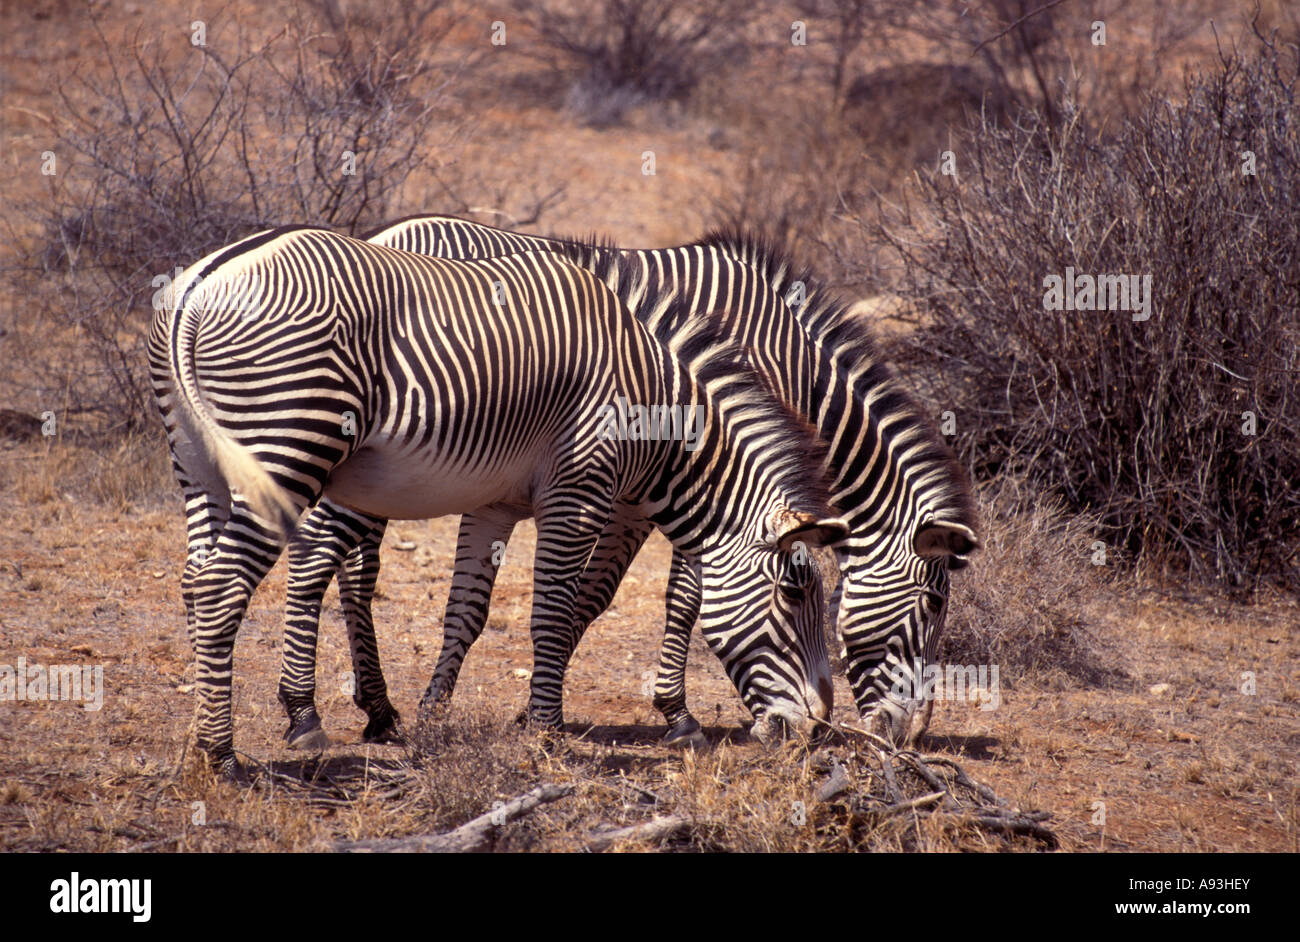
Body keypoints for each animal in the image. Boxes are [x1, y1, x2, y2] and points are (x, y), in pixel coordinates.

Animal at [152, 225, 847, 775]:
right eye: (795, 593)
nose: (817, 730)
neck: (649, 404)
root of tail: (204, 282)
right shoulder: (580, 492)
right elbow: (556, 613)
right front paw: (547, 733)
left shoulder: (496, 505)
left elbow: (466, 611)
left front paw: (432, 719)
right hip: (287, 444)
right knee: (225, 583)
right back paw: (227, 753)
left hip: (199, 462)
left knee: (196, 578)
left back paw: (211, 735)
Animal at [271, 216, 978, 751]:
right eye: (935, 604)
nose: (912, 735)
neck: (785, 361)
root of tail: (388, 230)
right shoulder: (679, 486)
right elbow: (667, 599)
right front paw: (675, 716)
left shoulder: (651, 490)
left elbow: (588, 597)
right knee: (333, 561)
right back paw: (325, 711)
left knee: (356, 572)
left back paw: (378, 708)